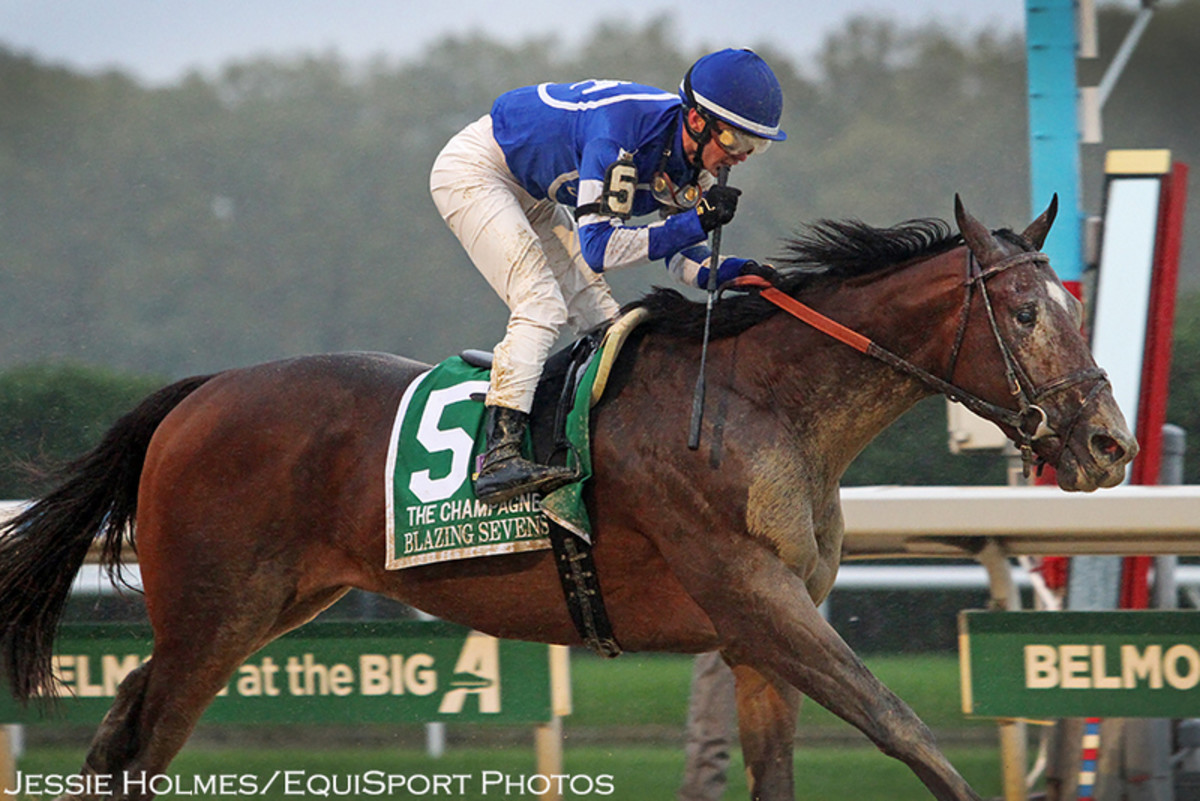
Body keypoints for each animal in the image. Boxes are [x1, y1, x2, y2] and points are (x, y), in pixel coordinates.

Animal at [0, 197, 1135, 801]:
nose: (1109, 444)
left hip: (261, 609)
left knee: (122, 727)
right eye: (1026, 312)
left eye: (1075, 303)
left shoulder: (759, 637)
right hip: (213, 613)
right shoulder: (754, 597)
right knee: (141, 744)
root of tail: (199, 392)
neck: (764, 403)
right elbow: (907, 729)